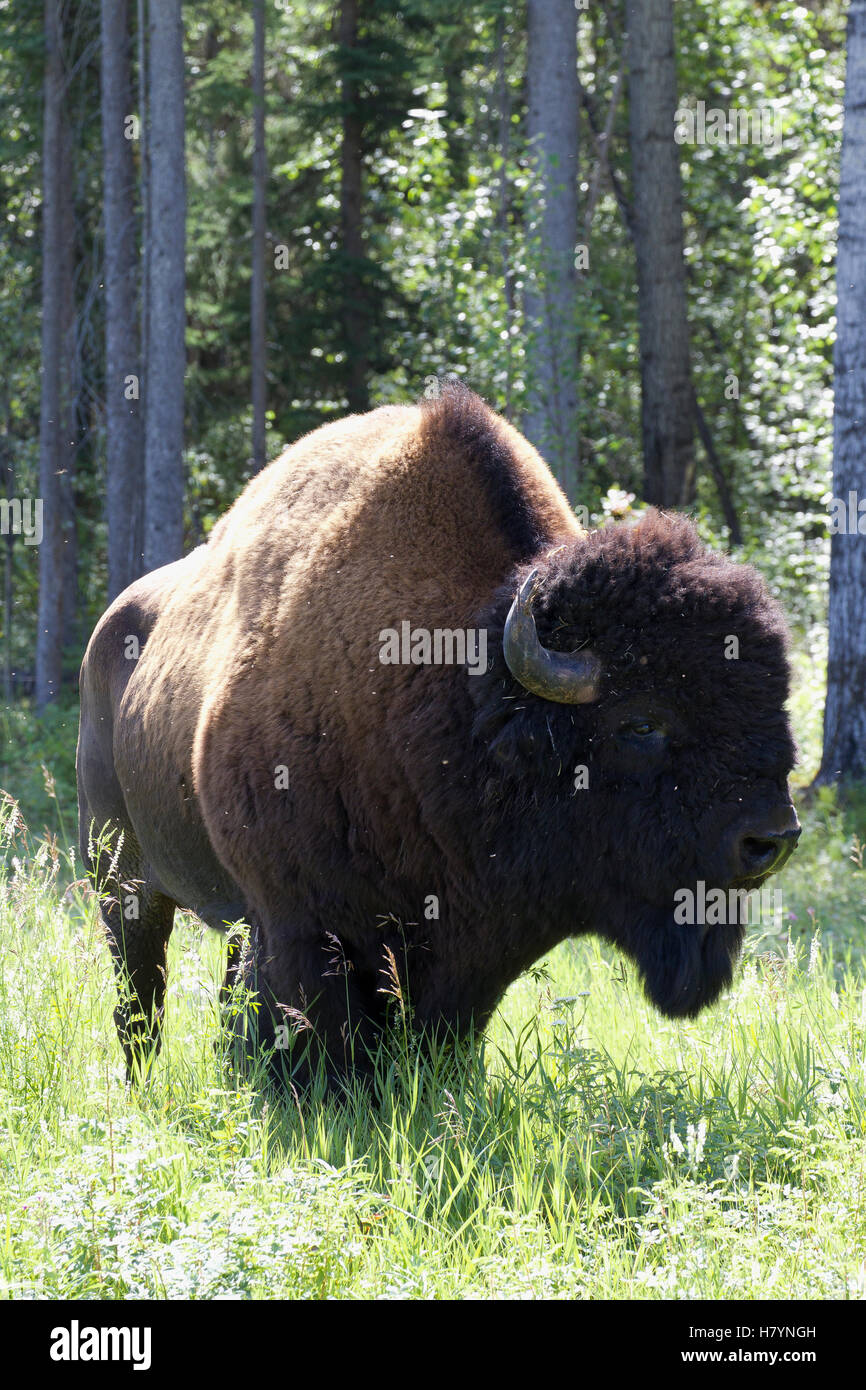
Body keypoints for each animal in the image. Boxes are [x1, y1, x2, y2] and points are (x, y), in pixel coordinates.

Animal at [77, 384, 800, 1085]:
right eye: (642, 722)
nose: (772, 840)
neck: (459, 689)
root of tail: (107, 633)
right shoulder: (297, 923)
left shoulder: (468, 949)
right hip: (123, 882)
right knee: (139, 1002)